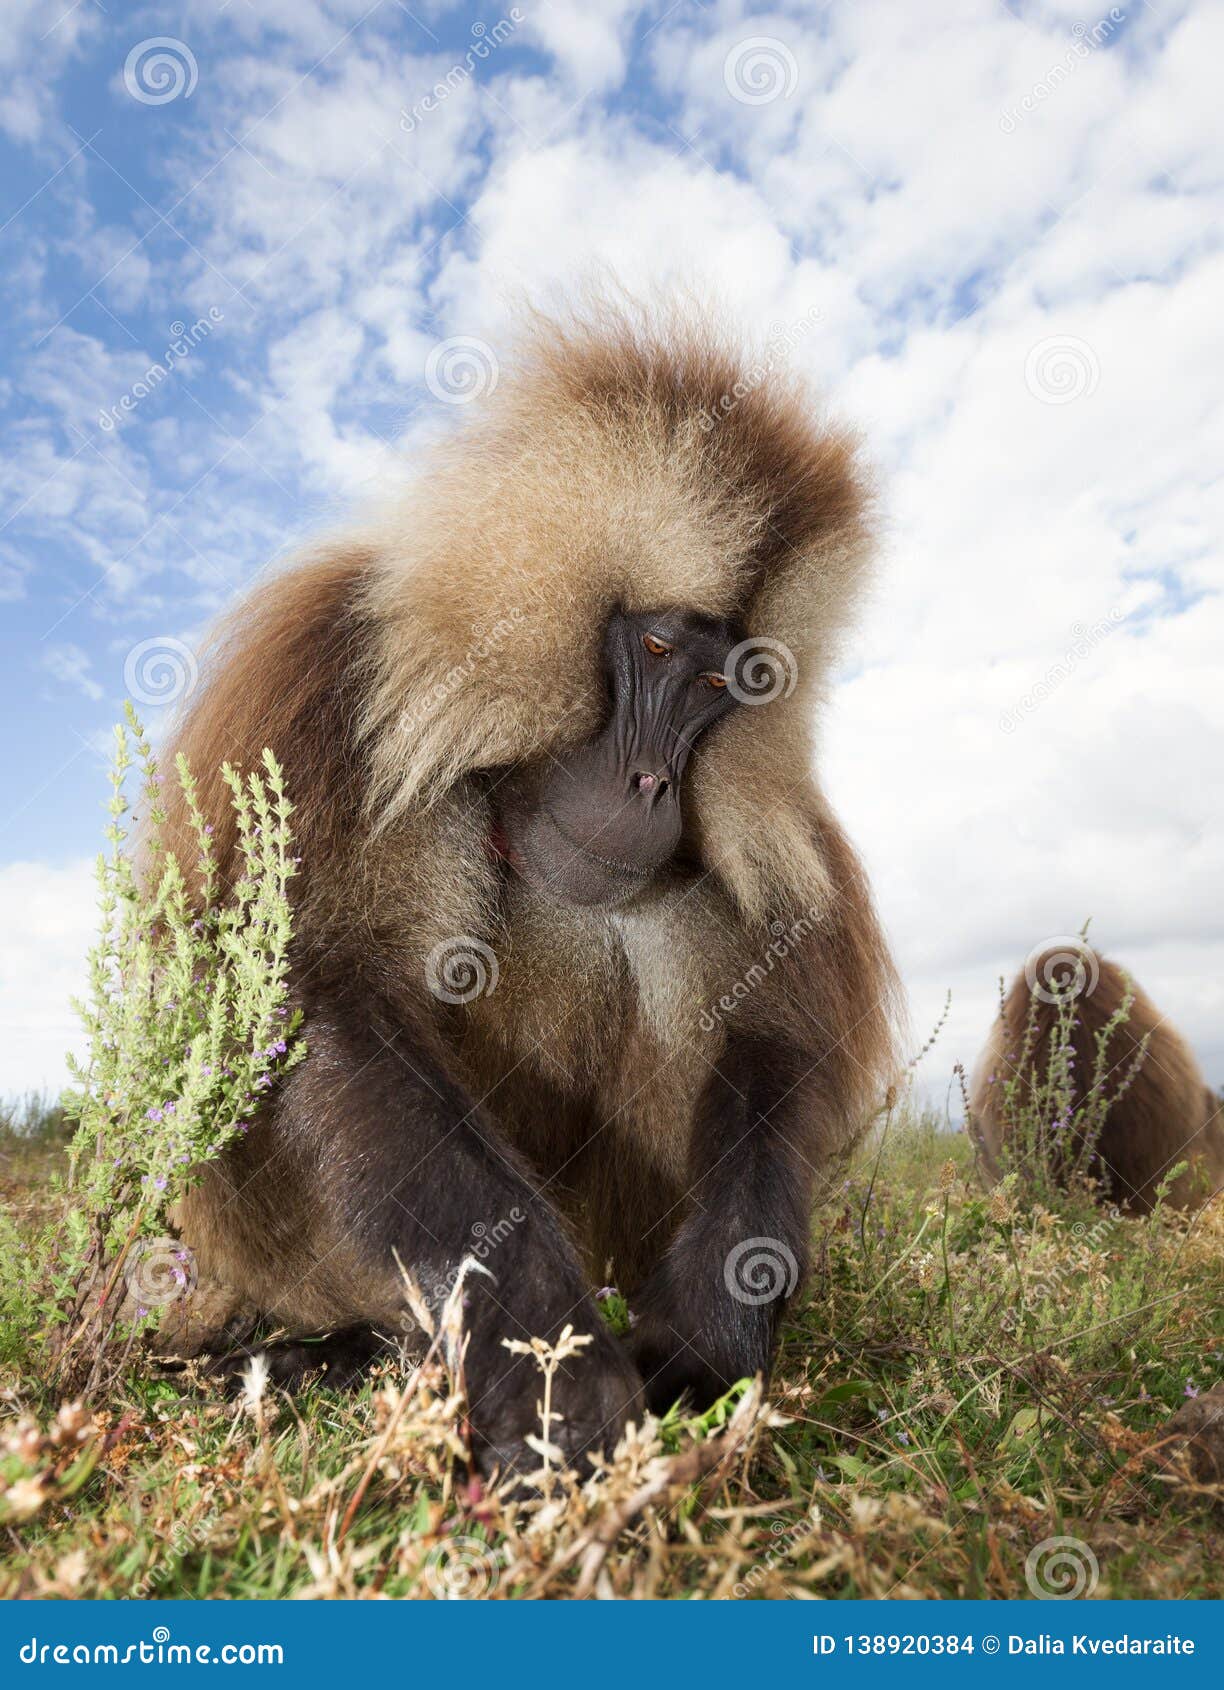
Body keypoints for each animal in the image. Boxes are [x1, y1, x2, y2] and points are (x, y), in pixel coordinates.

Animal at [160, 302, 902, 1478]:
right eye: (656, 646)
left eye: (724, 685)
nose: (651, 785)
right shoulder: (327, 690)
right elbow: (324, 991)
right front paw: (550, 1367)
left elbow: (770, 1029)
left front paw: (709, 1332)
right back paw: (353, 1351)